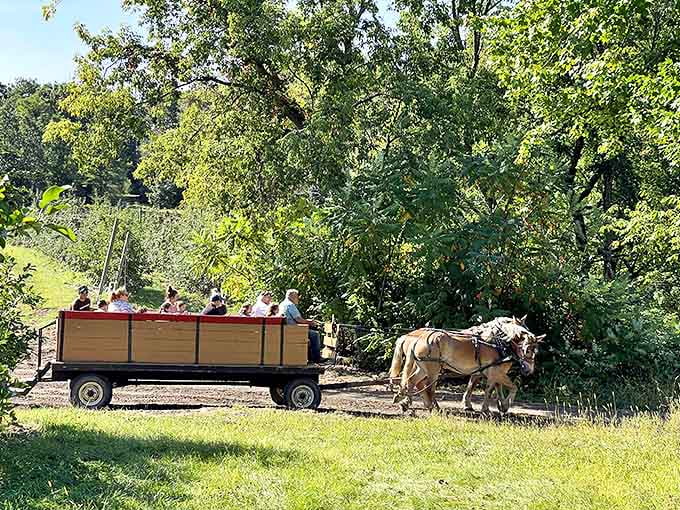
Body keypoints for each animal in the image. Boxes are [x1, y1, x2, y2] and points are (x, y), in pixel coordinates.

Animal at [388, 317, 545, 414]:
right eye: (527, 349)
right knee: (428, 387)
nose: (529, 370)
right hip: (433, 370)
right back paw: (432, 407)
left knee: (412, 381)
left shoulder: (486, 372)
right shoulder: (496, 372)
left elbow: (486, 388)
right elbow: (503, 388)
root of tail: (415, 339)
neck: (497, 343)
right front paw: (494, 407)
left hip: (422, 368)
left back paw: (406, 402)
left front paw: (498, 406)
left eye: (535, 350)